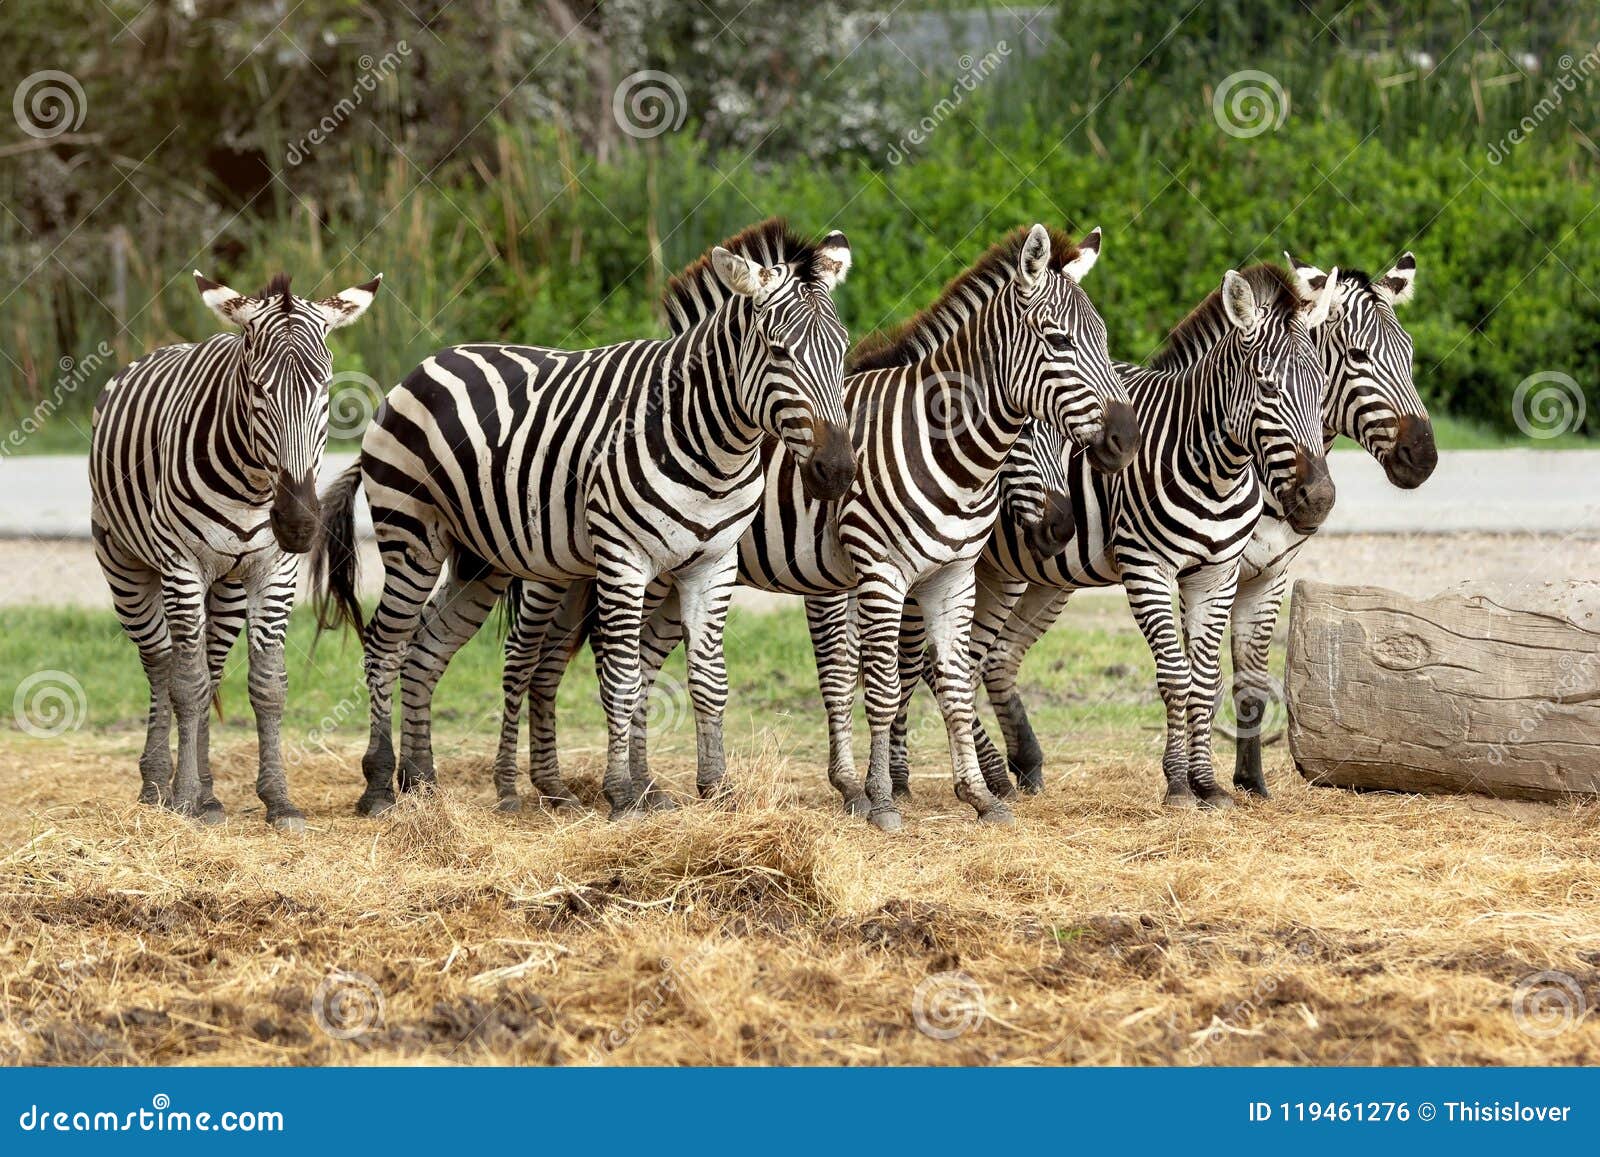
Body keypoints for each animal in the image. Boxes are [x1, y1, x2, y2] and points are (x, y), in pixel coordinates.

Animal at [90, 270, 382, 830]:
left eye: (324, 391)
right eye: (257, 390)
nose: (297, 524)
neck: (251, 485)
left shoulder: (276, 572)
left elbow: (267, 686)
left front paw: (278, 800)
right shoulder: (181, 566)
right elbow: (186, 685)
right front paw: (182, 798)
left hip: (227, 586)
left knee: (212, 666)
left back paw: (208, 794)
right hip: (123, 564)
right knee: (161, 663)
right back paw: (157, 785)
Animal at [311, 219, 857, 820]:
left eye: (843, 349)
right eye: (778, 351)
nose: (837, 471)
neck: (715, 444)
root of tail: (426, 364)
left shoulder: (713, 564)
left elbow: (710, 678)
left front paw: (718, 791)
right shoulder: (623, 559)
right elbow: (621, 679)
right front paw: (622, 794)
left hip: (481, 559)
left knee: (427, 649)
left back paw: (422, 784)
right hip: (412, 537)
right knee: (385, 645)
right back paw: (380, 785)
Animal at [496, 224, 1140, 830]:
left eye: (1105, 342)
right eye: (1058, 342)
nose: (1125, 442)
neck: (937, 448)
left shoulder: (941, 574)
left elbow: (940, 681)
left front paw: (974, 797)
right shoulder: (873, 574)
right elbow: (874, 683)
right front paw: (880, 797)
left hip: (664, 575)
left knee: (622, 665)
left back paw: (633, 789)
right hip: (560, 567)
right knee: (533, 660)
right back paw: (531, 790)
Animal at [897, 263, 1342, 808]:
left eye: (1322, 386)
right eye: (1267, 387)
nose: (1318, 498)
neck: (1217, 468)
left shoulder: (1220, 574)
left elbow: (1208, 681)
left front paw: (1209, 784)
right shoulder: (1148, 567)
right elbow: (1176, 676)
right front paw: (1178, 784)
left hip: (1016, 575)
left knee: (985, 659)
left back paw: (1010, 772)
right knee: (919, 664)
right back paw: (907, 782)